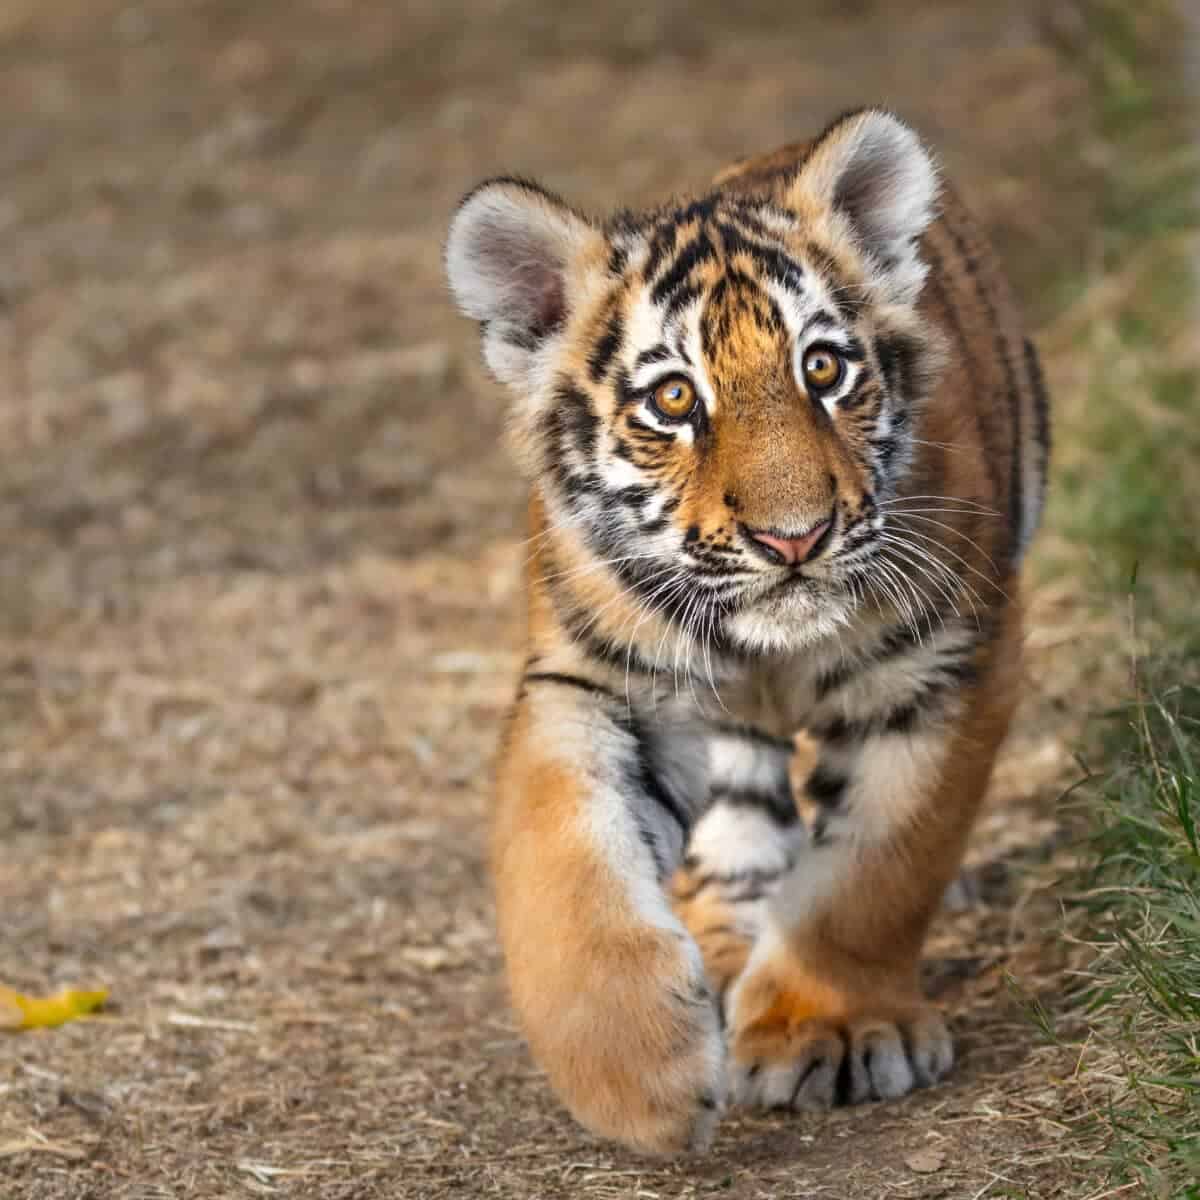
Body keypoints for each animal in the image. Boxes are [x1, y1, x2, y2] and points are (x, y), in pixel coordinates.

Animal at [444, 108, 1050, 1154]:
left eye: (824, 368)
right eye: (674, 400)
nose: (794, 536)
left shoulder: (940, 669)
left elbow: (878, 868)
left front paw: (828, 1029)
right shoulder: (596, 682)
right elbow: (562, 860)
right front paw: (639, 1080)